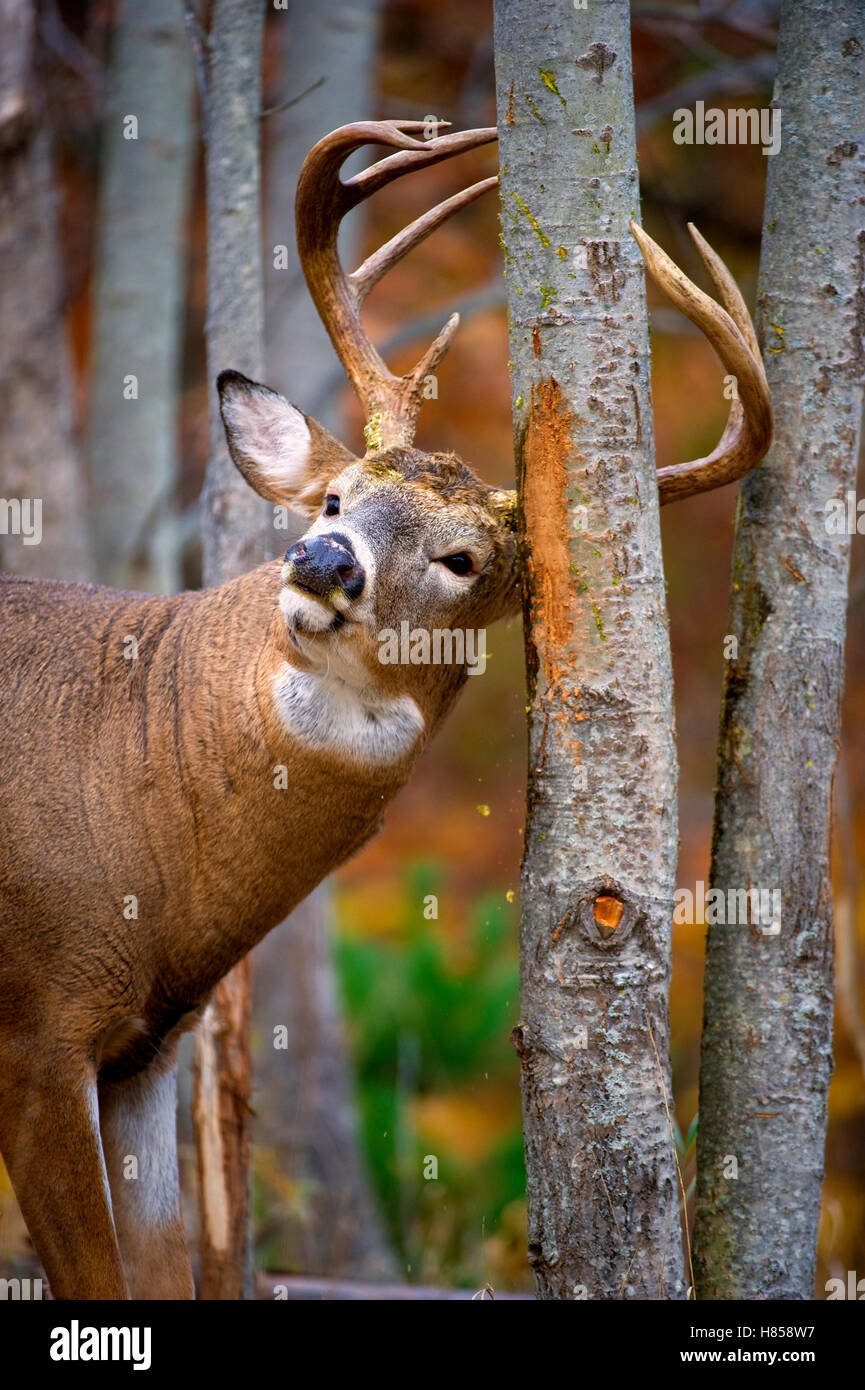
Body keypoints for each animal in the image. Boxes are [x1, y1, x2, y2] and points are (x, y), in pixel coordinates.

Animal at [0, 120, 772, 1300]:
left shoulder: (139, 1051)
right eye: (334, 496)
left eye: (462, 560)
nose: (324, 560)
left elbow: (155, 1274)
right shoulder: (35, 1028)